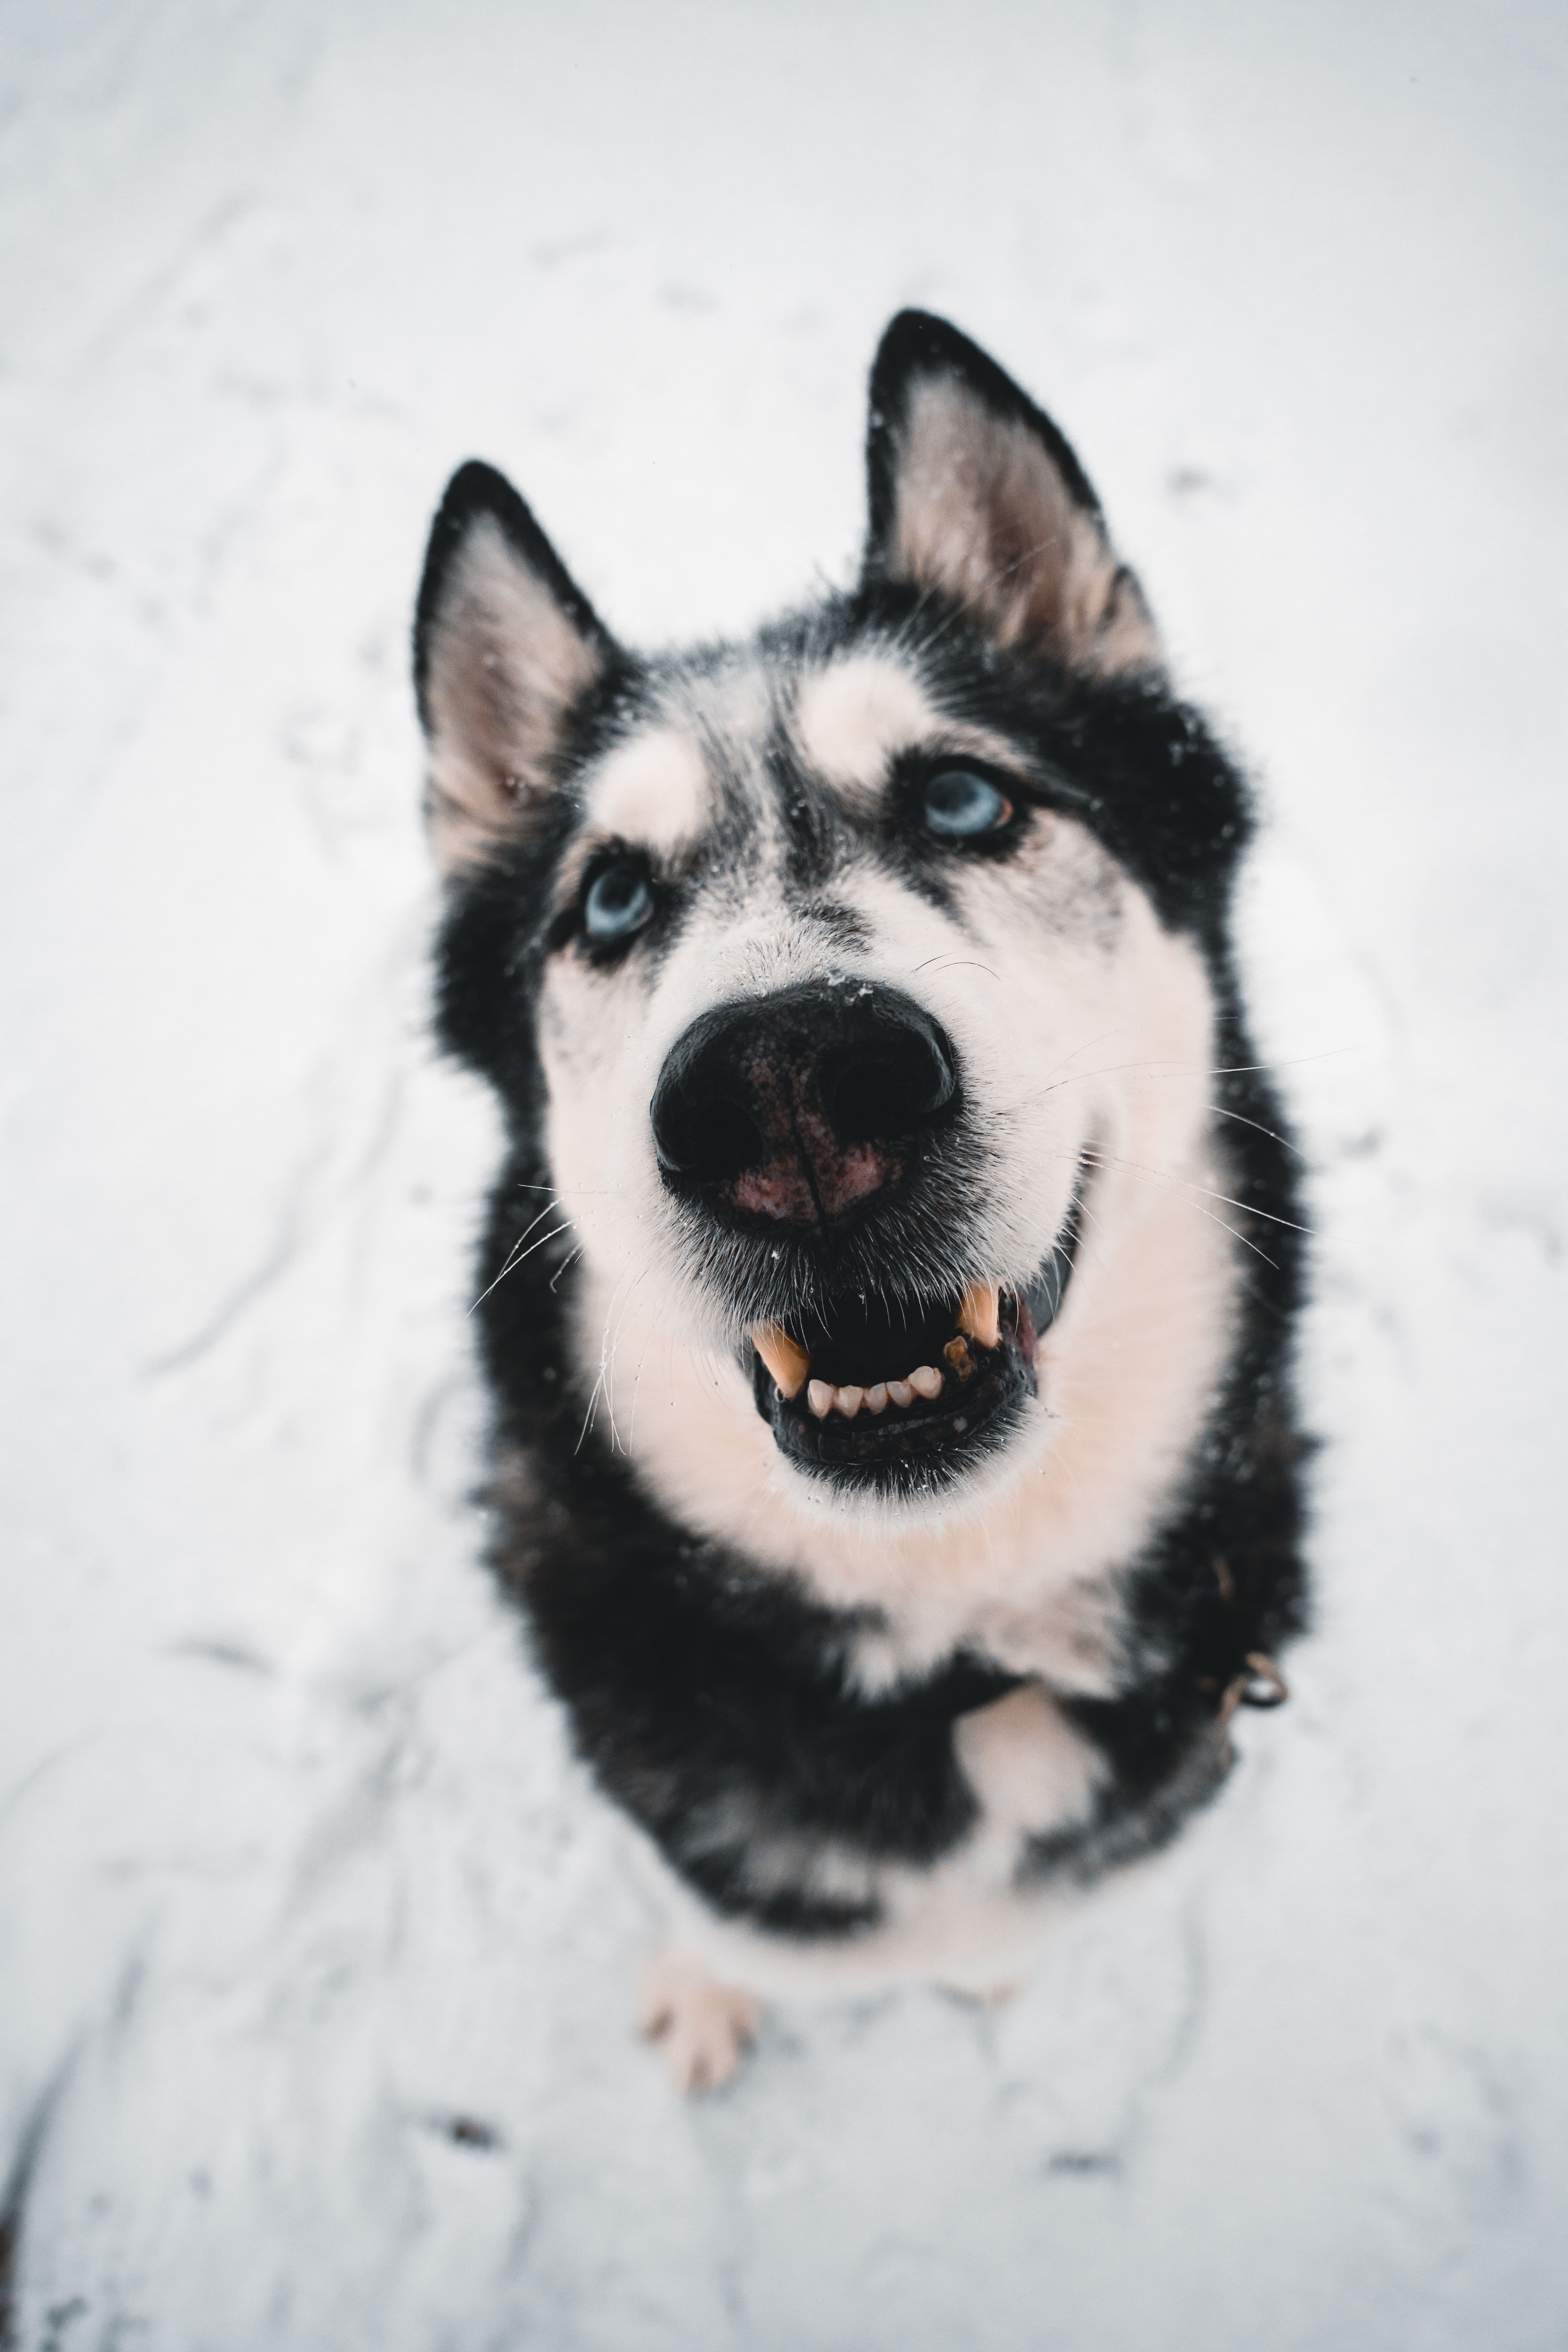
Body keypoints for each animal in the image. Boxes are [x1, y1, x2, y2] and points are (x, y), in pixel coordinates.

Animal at [413, 312, 1307, 2092]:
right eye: (607, 898)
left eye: (964, 798)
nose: (789, 1096)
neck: (961, 1645)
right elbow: (714, 1923)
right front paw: (708, 1989)